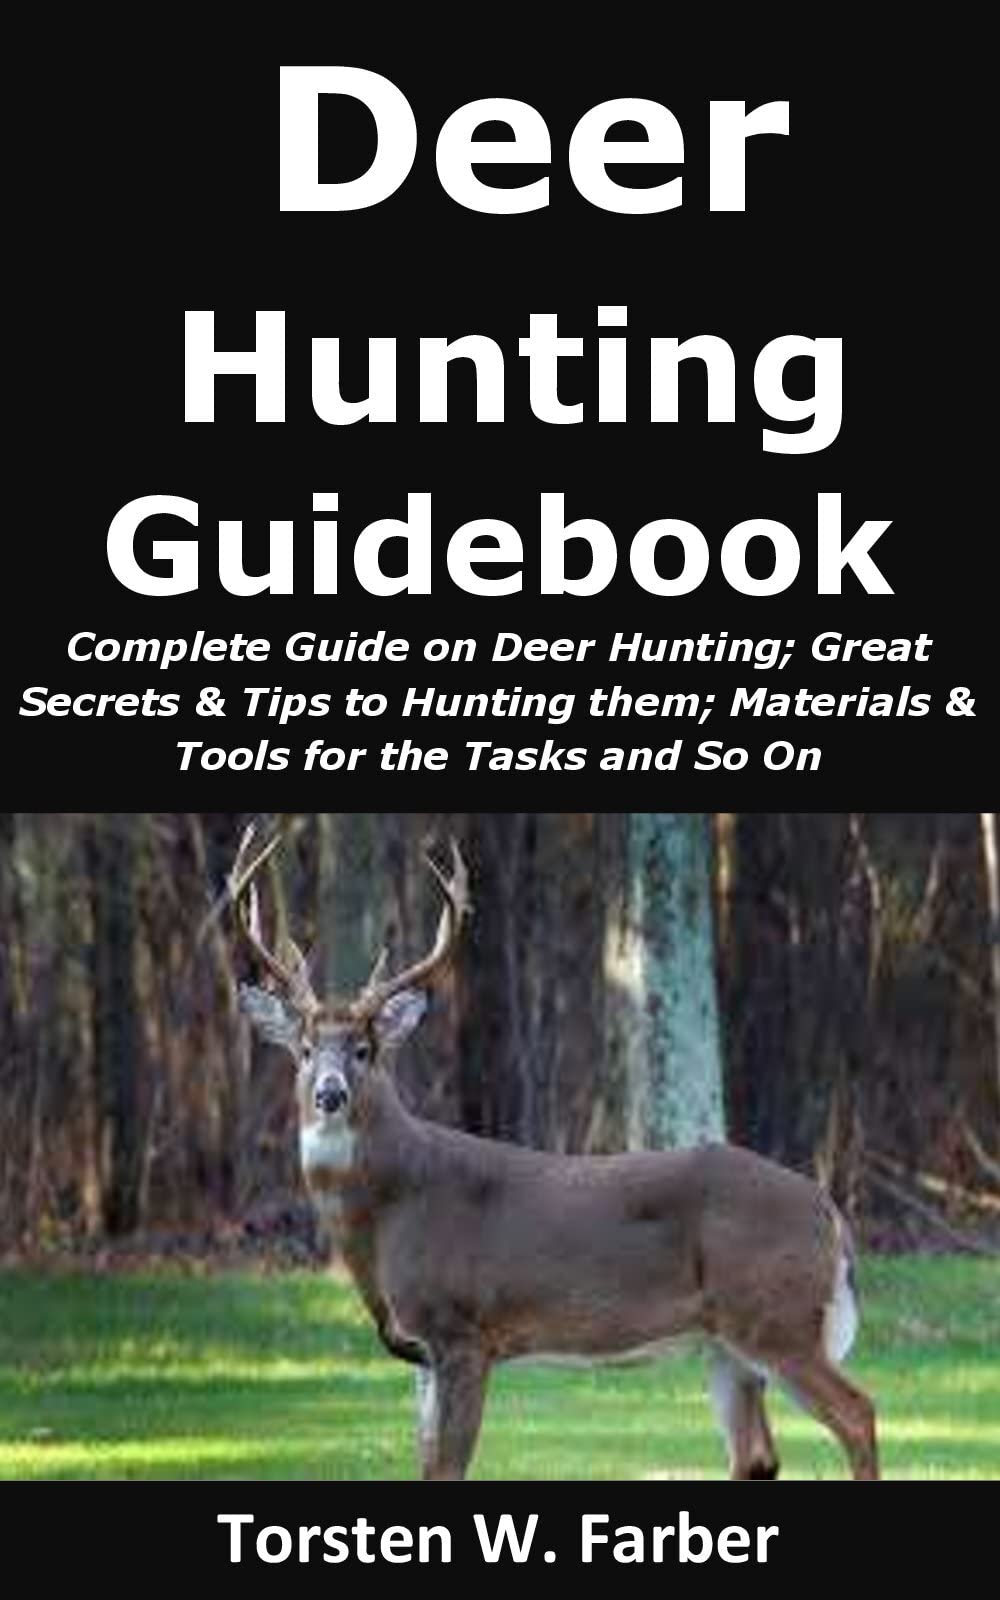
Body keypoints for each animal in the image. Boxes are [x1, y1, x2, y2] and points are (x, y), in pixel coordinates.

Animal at [228, 825, 879, 1482]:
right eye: (305, 1050)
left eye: (364, 1050)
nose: (329, 1094)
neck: (391, 1210)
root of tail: (829, 1212)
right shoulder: (423, 1355)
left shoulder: (464, 1331)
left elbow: (448, 1468)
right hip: (725, 1344)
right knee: (758, 1456)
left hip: (775, 1316)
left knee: (858, 1413)